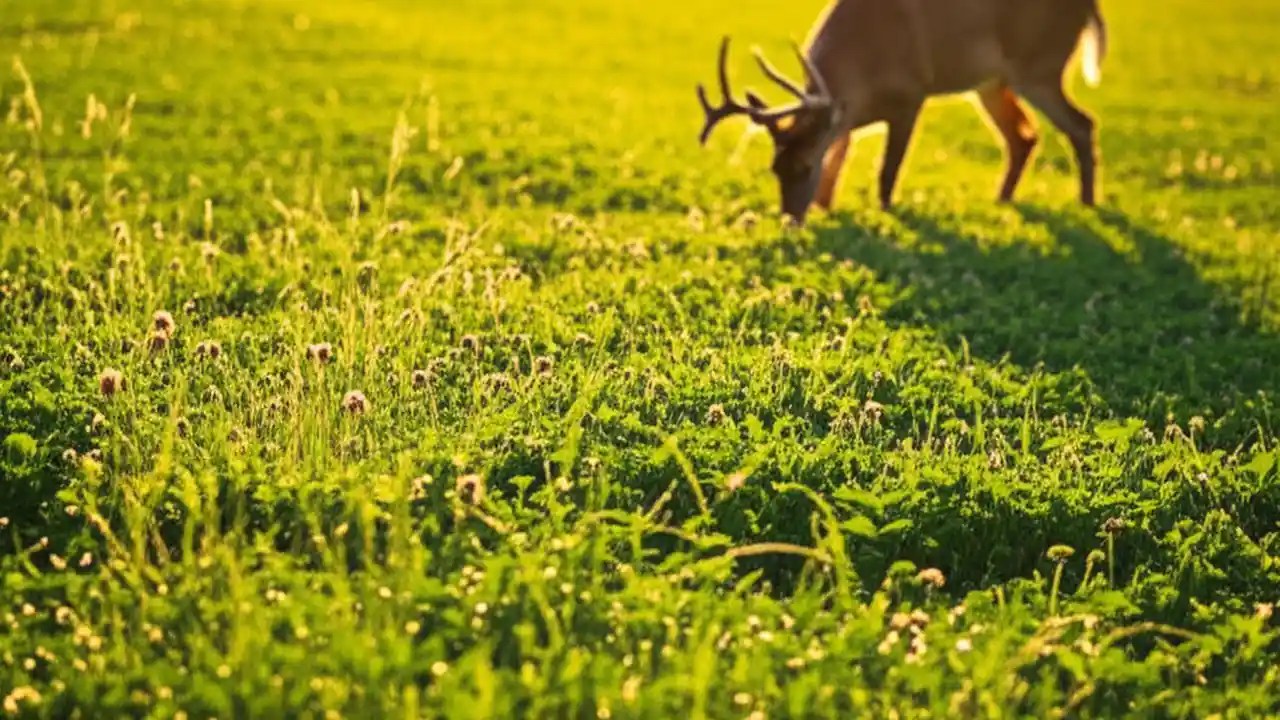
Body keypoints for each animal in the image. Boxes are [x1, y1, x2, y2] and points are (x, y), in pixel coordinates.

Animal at [696, 0, 1107, 225]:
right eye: (775, 168)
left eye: (804, 167)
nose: (790, 220)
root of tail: (1089, 4)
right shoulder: (845, 117)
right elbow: (836, 170)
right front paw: (827, 210)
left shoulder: (912, 95)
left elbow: (887, 172)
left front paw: (886, 214)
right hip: (991, 83)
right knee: (1023, 136)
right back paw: (1004, 201)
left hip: (1039, 65)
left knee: (1082, 123)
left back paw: (1087, 205)